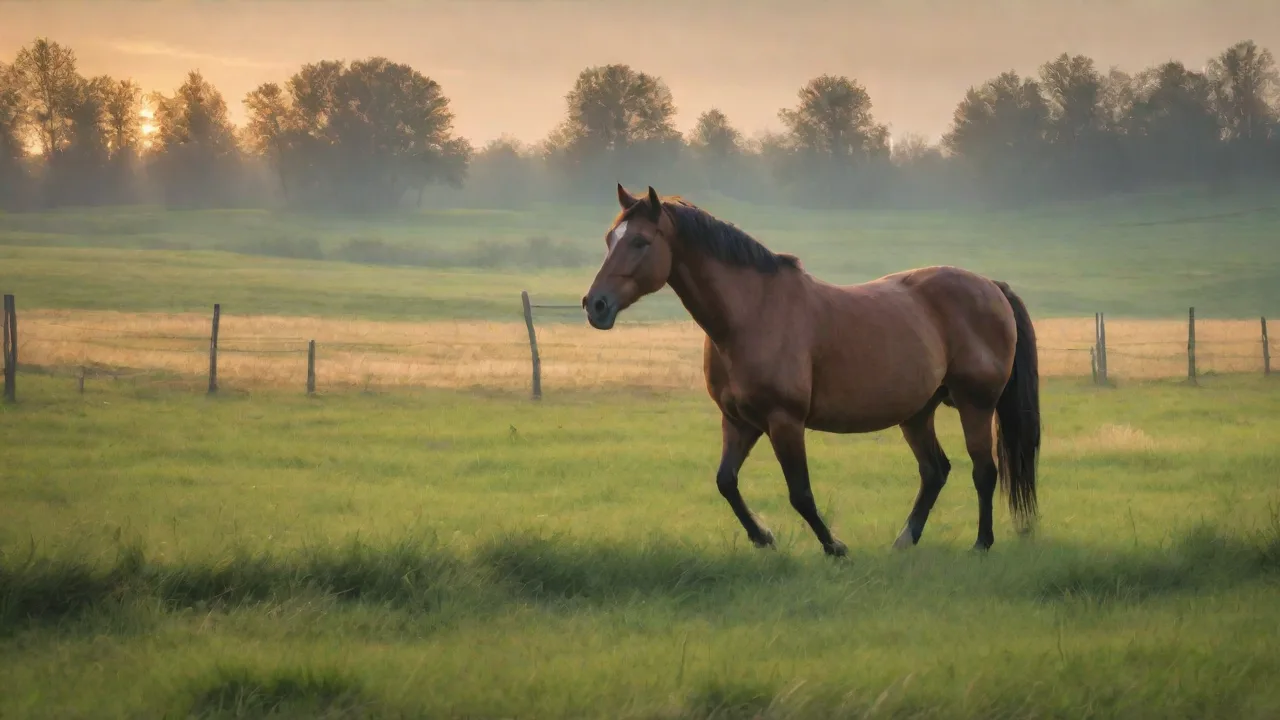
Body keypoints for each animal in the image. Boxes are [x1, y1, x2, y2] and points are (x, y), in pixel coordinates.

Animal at [581, 184, 1041, 557]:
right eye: (609, 239)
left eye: (640, 242)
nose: (595, 305)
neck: (750, 314)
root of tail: (991, 286)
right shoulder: (739, 421)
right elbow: (726, 481)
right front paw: (763, 537)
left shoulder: (784, 421)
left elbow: (800, 492)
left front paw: (834, 546)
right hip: (917, 413)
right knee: (935, 472)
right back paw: (904, 541)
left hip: (975, 405)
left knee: (984, 471)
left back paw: (981, 544)